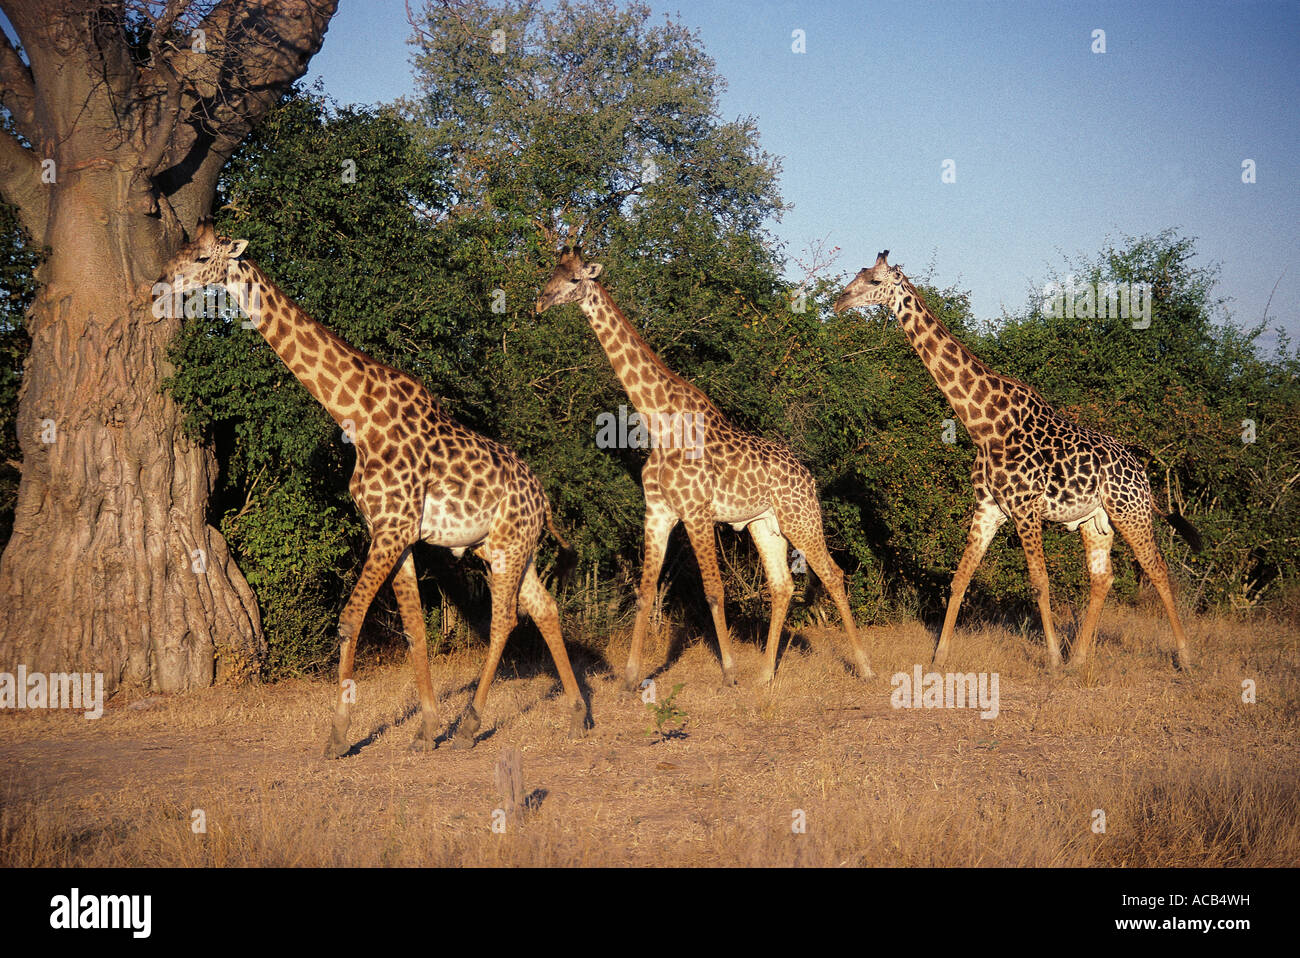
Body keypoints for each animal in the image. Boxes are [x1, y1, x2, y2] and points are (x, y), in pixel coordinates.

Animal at [160, 220, 587, 756]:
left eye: (201, 259)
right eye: (183, 250)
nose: (162, 280)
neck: (357, 417)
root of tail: (545, 501)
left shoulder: (391, 529)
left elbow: (349, 619)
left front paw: (338, 736)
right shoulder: (394, 535)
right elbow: (415, 629)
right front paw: (426, 730)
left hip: (509, 547)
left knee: (504, 620)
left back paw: (471, 725)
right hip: (505, 547)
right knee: (545, 608)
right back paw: (576, 715)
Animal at [536, 246, 873, 689]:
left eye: (575, 279)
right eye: (552, 272)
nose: (540, 302)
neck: (658, 422)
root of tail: (808, 476)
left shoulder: (697, 512)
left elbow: (714, 590)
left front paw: (729, 672)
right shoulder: (658, 512)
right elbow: (644, 592)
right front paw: (630, 676)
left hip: (801, 517)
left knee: (833, 574)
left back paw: (864, 667)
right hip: (765, 524)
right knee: (782, 585)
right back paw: (765, 674)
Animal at [833, 252, 1201, 670]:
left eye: (875, 280)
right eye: (858, 274)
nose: (839, 301)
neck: (985, 424)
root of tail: (1141, 470)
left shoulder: (1026, 508)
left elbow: (1040, 582)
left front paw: (1052, 659)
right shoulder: (989, 508)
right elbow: (960, 577)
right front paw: (940, 657)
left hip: (1131, 512)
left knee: (1157, 569)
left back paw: (1184, 657)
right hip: (1096, 520)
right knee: (1102, 578)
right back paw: (1079, 659)